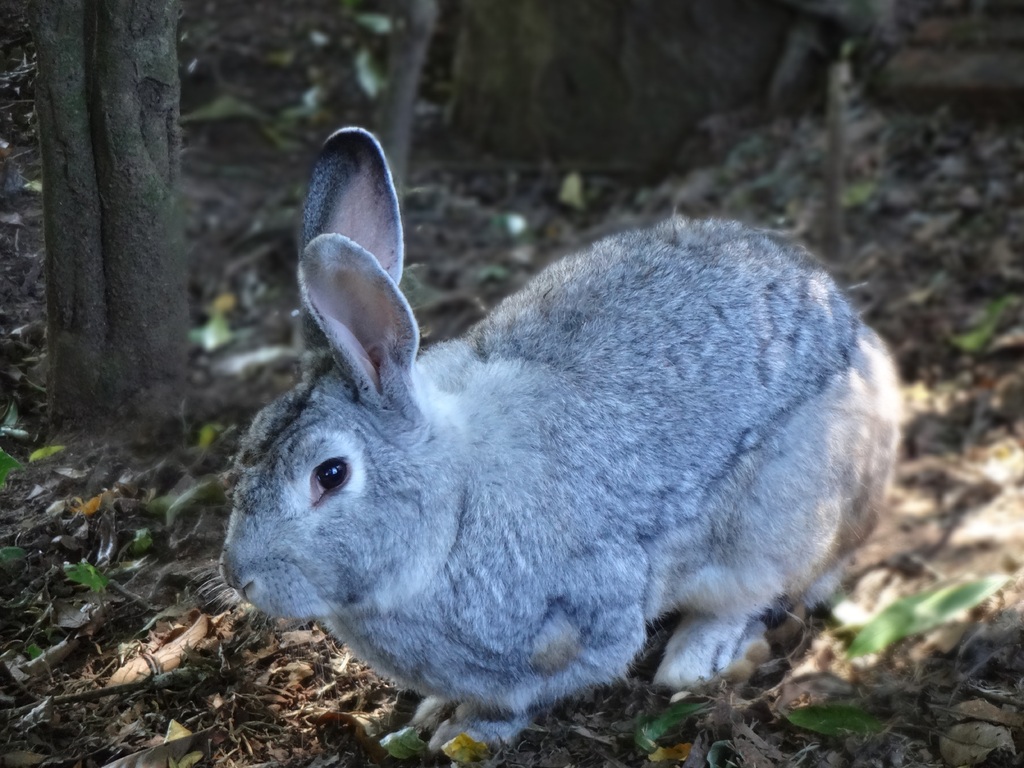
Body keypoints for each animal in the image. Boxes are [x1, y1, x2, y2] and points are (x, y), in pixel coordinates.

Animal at [220, 127, 901, 750]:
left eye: (330, 474)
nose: (238, 577)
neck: (455, 505)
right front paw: (429, 716)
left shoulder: (582, 627)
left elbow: (525, 697)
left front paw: (465, 732)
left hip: (779, 517)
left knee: (760, 591)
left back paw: (693, 658)